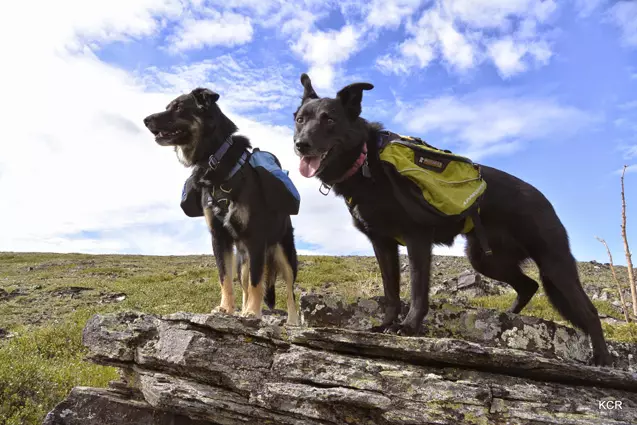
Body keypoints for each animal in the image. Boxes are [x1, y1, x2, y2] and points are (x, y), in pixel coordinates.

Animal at [145, 88, 300, 322]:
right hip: (243, 261)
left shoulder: (256, 238)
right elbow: (224, 278)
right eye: (168, 106)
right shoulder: (219, 237)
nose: (145, 120)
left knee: (290, 291)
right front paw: (226, 309)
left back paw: (291, 322)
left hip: (284, 254)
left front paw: (253, 312)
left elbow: (257, 282)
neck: (214, 158)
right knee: (245, 284)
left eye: (179, 107)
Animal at [292, 73, 612, 364]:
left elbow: (417, 291)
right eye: (299, 119)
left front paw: (409, 327)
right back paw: (506, 321)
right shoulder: (382, 244)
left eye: (329, 120)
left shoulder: (417, 239)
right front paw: (386, 324)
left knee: (589, 311)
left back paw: (603, 359)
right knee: (528, 286)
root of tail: (542, 198)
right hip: (484, 259)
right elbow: (391, 292)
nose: (300, 144)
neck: (364, 163)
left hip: (554, 264)